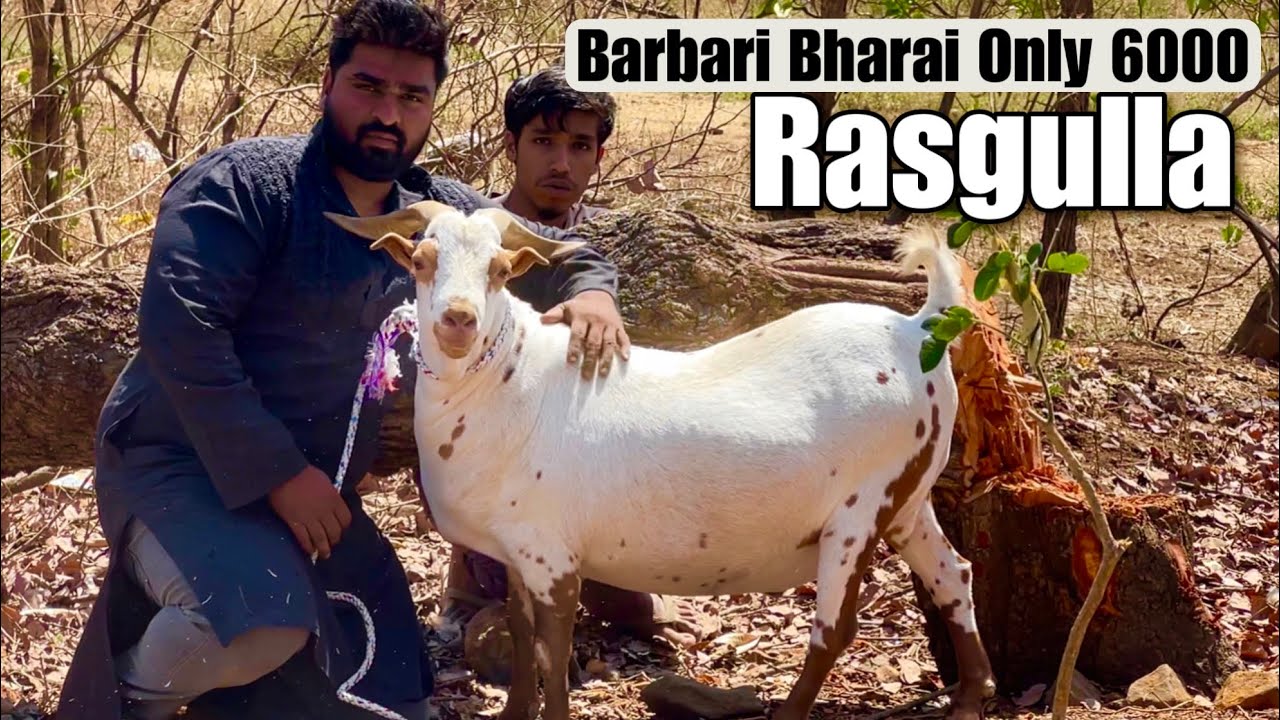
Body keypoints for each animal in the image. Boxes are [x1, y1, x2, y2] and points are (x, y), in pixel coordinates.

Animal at [325, 202, 997, 720]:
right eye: (420, 261)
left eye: (497, 269)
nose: (458, 321)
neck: (506, 381)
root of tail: (916, 331)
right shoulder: (519, 550)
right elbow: (519, 634)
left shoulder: (554, 558)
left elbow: (552, 651)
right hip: (909, 499)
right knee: (953, 575)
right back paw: (971, 696)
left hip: (860, 511)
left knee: (835, 631)